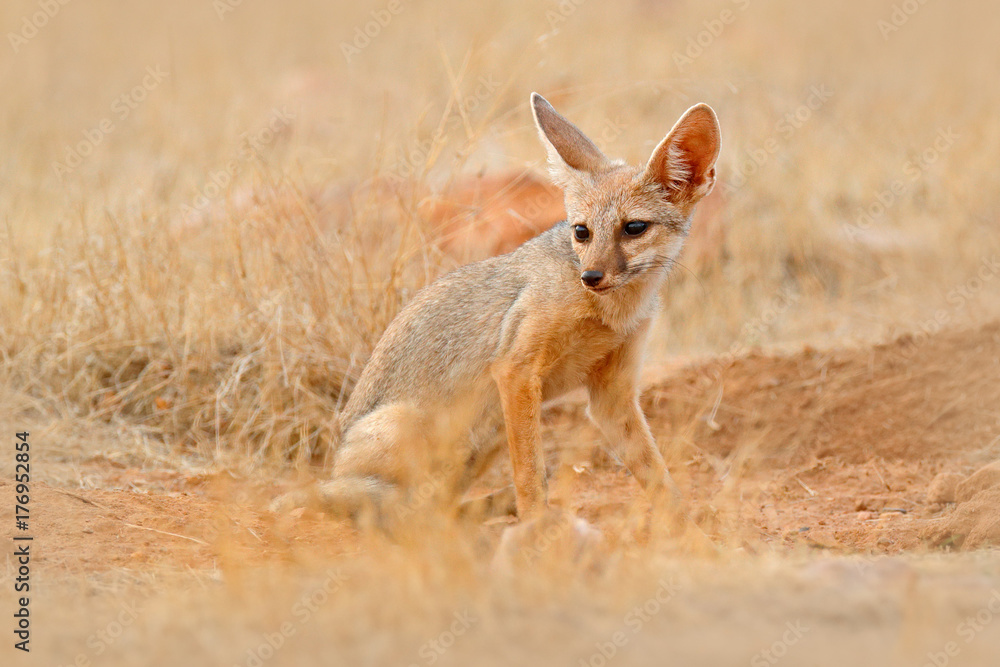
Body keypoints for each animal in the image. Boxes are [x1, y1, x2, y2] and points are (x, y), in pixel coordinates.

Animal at [286, 93, 721, 524]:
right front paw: (536, 525)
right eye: (582, 231)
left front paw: (685, 525)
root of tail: (336, 463)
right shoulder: (516, 370)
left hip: (488, 433)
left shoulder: (611, 396)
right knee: (401, 509)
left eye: (634, 228)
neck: (610, 313)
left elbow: (655, 471)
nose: (591, 276)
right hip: (419, 425)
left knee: (439, 504)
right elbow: (530, 473)